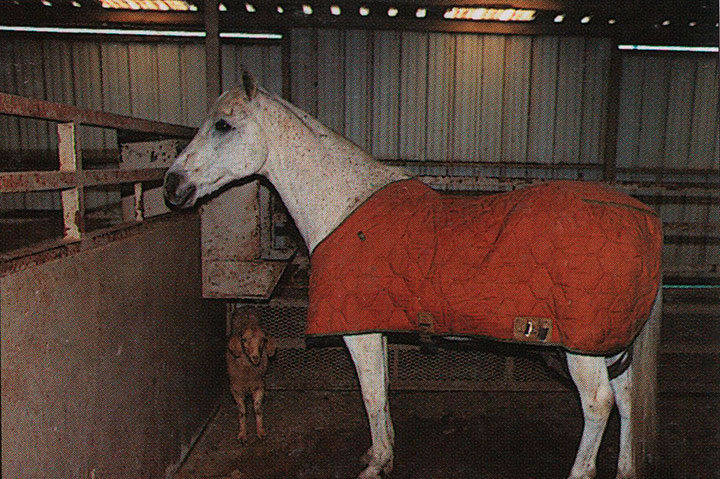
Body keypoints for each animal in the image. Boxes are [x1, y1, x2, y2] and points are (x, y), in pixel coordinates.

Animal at [163, 71, 662, 479]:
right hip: (610, 341)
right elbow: (383, 390)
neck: (344, 205)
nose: (172, 185)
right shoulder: (376, 326)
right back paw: (625, 470)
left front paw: (377, 465)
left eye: (222, 125)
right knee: (625, 397)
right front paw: (381, 453)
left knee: (599, 403)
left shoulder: (358, 331)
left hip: (583, 347)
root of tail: (643, 219)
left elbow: (370, 395)